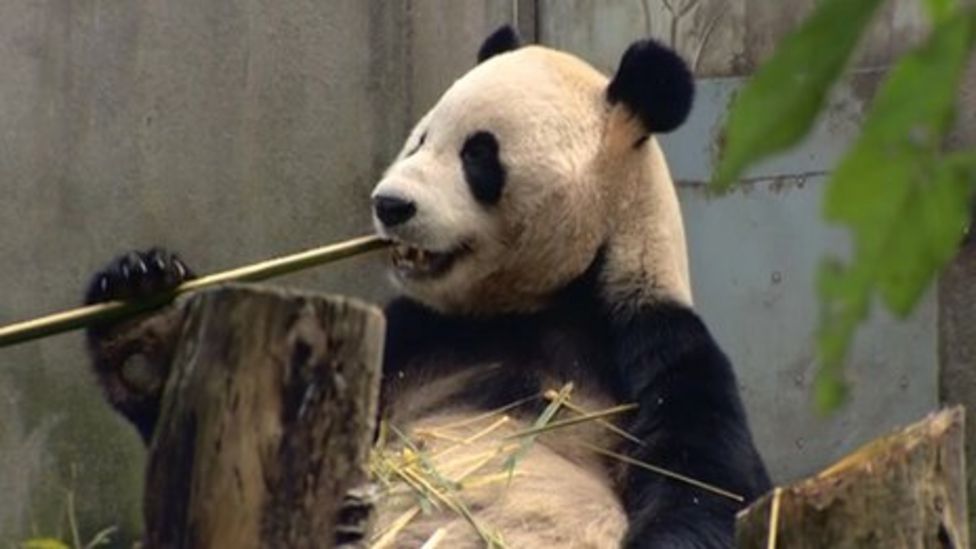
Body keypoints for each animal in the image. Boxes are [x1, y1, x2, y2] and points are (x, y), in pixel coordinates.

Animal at [83, 26, 770, 549]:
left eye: (478, 155)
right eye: (420, 138)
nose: (390, 204)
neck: (541, 300)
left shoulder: (649, 339)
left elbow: (710, 487)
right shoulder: (412, 336)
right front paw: (142, 313)